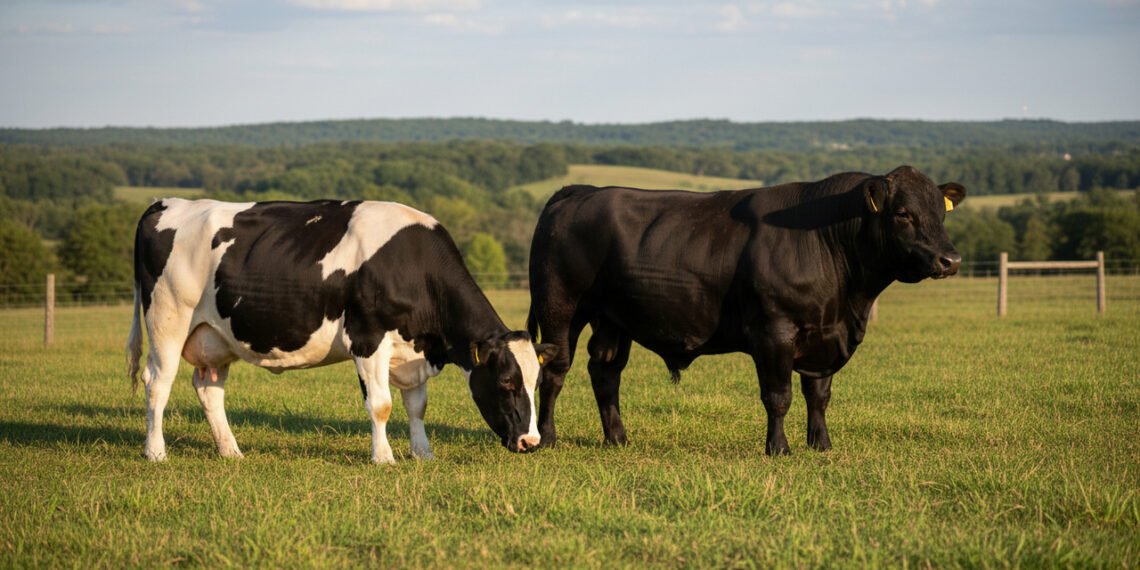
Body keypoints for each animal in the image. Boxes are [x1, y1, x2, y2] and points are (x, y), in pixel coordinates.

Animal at [126, 198, 557, 464]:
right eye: (505, 382)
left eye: (536, 382)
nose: (531, 441)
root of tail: (167, 203)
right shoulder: (368, 340)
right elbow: (381, 404)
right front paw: (384, 457)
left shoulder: (415, 351)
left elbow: (416, 406)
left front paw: (423, 453)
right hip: (167, 318)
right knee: (157, 381)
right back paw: (155, 452)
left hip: (214, 337)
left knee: (209, 388)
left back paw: (231, 451)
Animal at [526, 165, 965, 455]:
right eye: (903, 213)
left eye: (941, 213)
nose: (951, 260)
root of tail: (579, 191)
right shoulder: (774, 331)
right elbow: (778, 396)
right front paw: (779, 448)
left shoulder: (824, 336)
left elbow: (819, 395)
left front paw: (821, 444)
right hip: (561, 306)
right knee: (555, 369)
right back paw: (547, 438)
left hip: (613, 318)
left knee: (605, 371)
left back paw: (617, 438)